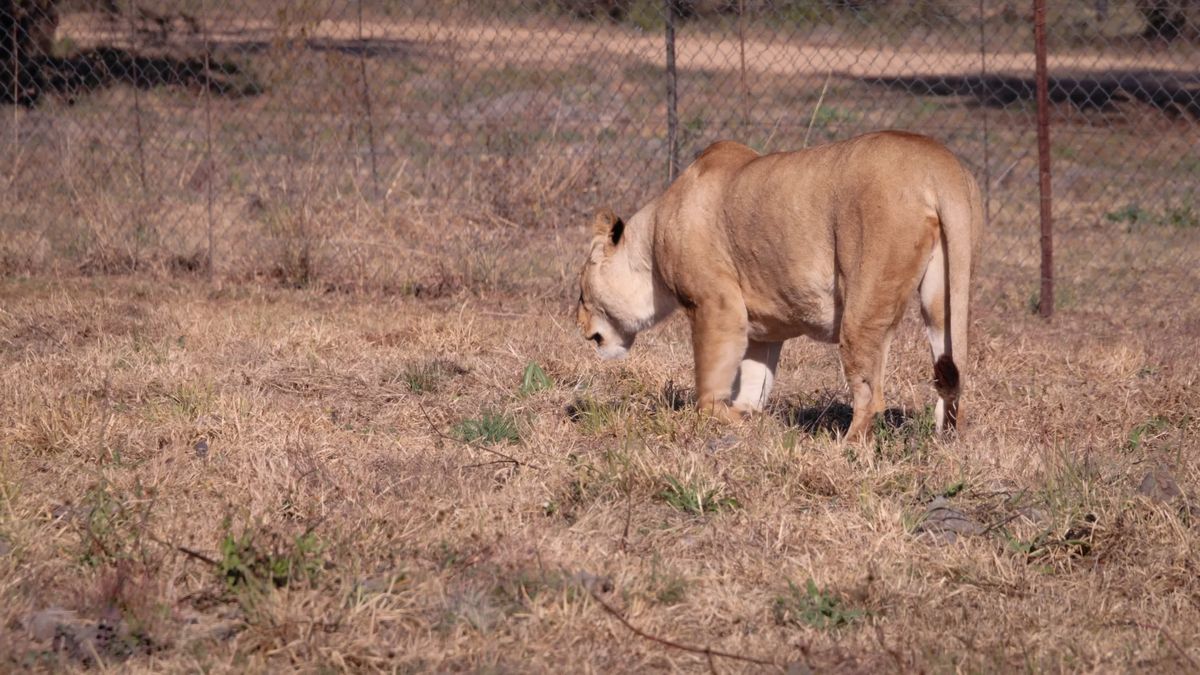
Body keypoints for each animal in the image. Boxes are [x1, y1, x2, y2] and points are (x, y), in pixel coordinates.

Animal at [576, 130, 983, 441]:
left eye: (581, 294)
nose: (579, 326)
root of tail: (937, 162)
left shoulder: (717, 306)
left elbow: (710, 379)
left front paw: (719, 417)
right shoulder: (762, 329)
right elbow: (756, 378)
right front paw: (747, 417)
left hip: (864, 301)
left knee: (871, 392)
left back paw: (847, 448)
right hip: (944, 294)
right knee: (950, 372)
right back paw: (944, 440)